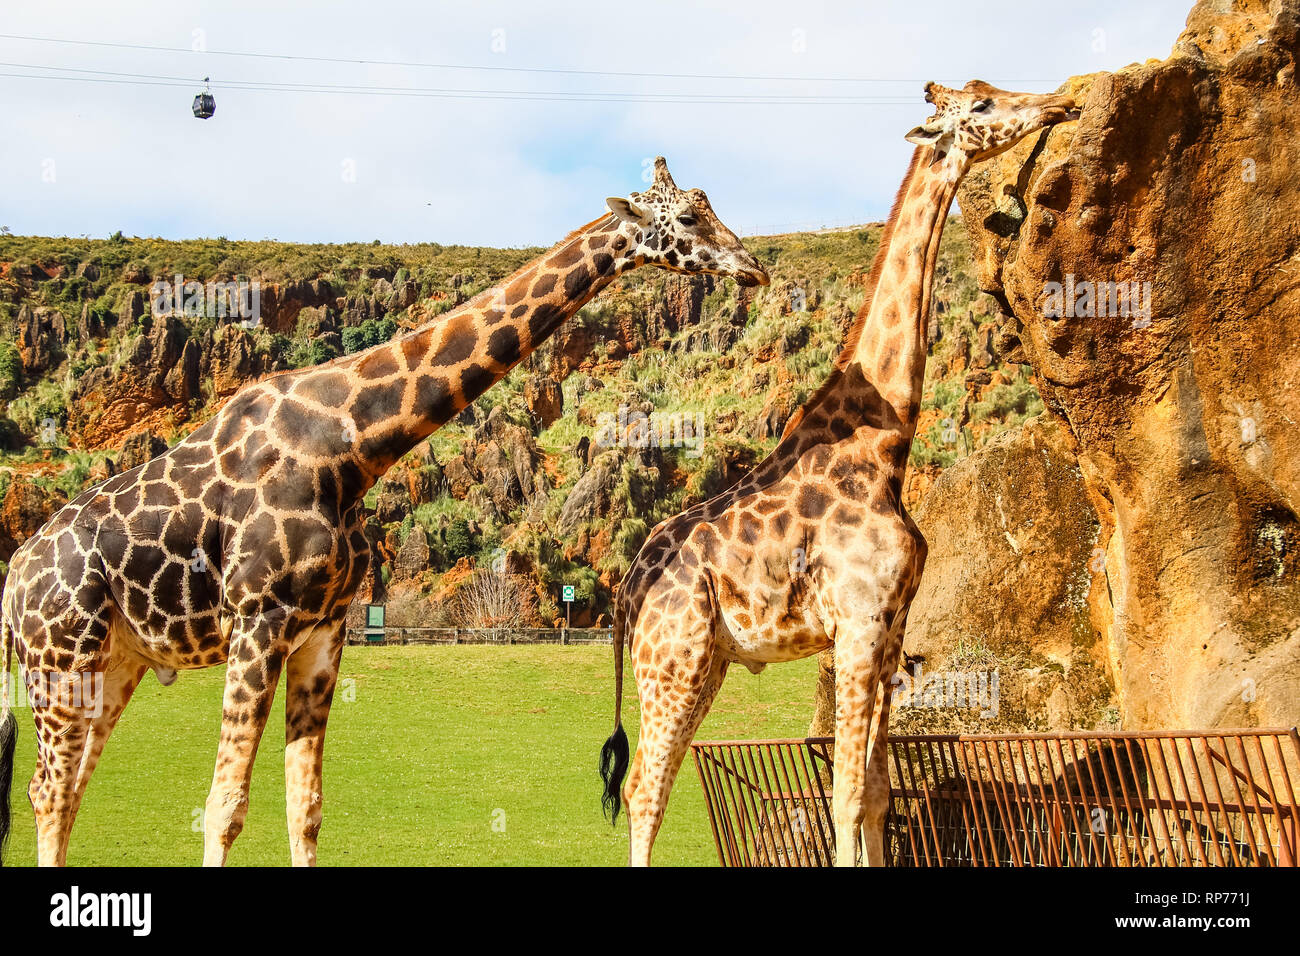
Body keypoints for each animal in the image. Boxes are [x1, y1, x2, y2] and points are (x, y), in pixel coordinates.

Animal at [0, 157, 768, 867]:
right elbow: (224, 805)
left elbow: (305, 806)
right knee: (48, 788)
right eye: (689, 218)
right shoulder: (257, 621)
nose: (754, 266)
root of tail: (13, 582)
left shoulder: (321, 630)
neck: (351, 448)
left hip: (115, 661)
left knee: (70, 786)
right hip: (61, 657)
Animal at [600, 82, 1079, 866]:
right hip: (673, 658)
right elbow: (845, 796)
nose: (1058, 105)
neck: (888, 446)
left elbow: (878, 794)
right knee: (645, 788)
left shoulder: (888, 633)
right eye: (979, 105)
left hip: (708, 660)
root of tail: (625, 591)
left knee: (647, 779)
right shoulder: (857, 623)